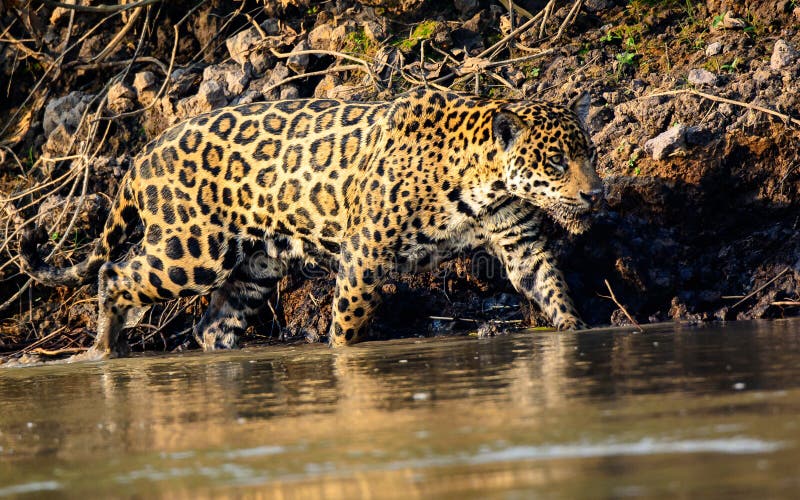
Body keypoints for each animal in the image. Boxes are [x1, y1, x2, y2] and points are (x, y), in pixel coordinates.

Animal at [19, 89, 603, 358]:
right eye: (556, 163)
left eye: (590, 153)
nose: (596, 194)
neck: (483, 185)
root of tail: (142, 154)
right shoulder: (366, 251)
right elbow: (348, 320)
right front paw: (341, 357)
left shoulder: (521, 240)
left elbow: (550, 288)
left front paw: (578, 333)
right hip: (192, 251)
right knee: (114, 274)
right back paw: (105, 348)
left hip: (254, 267)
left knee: (213, 325)